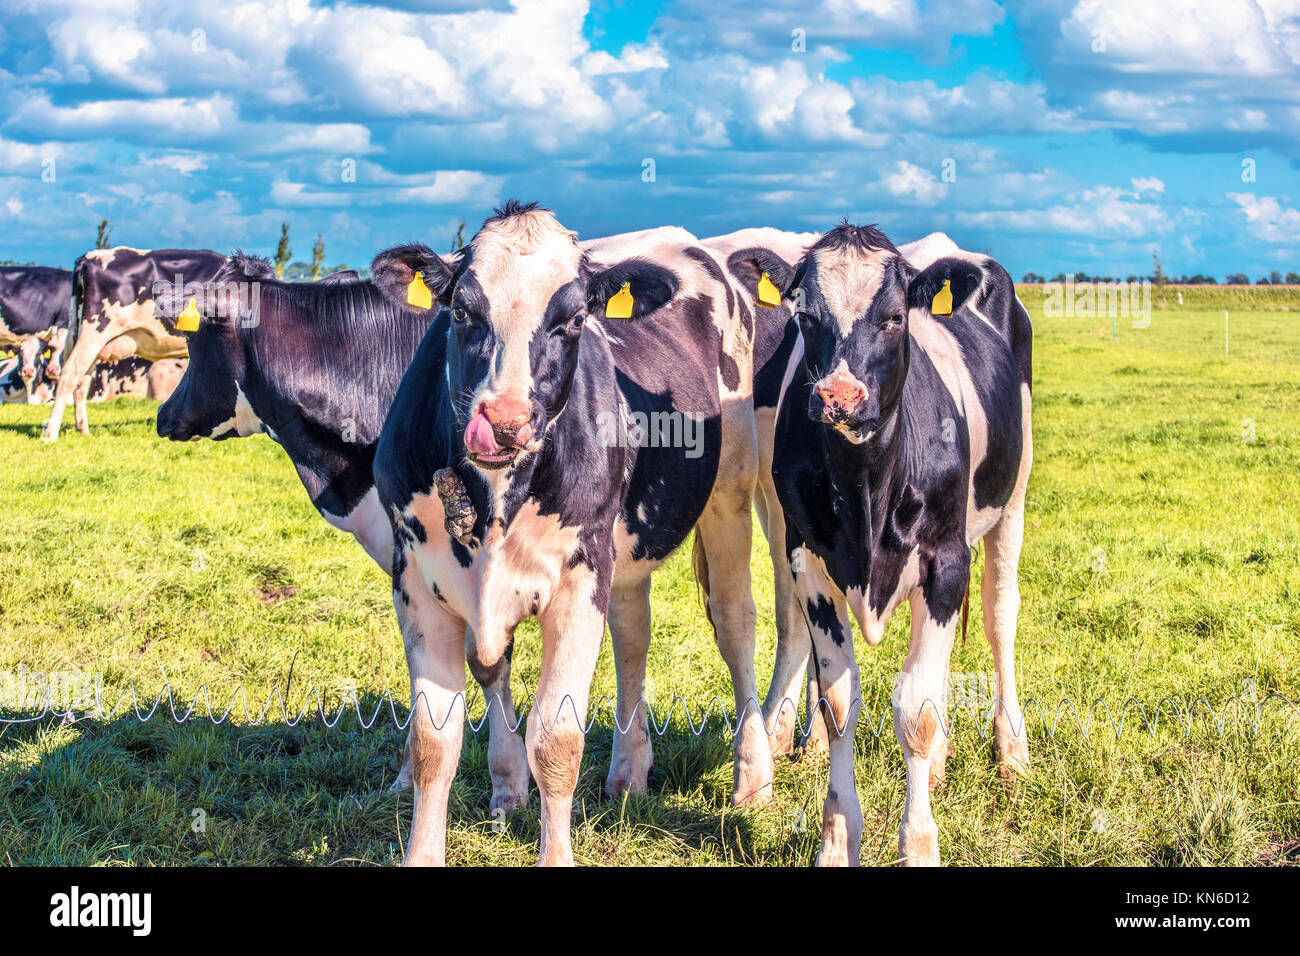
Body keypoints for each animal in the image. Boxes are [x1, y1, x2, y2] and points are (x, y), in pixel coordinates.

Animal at [41, 247, 226, 441]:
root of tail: (89, 257)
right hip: (94, 332)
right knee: (69, 375)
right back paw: (51, 433)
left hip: (83, 336)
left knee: (82, 381)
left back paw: (83, 429)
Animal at [370, 201, 775, 866]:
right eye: (461, 311)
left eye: (576, 318)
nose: (503, 422)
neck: (496, 497)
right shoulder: (419, 583)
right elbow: (434, 741)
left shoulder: (578, 581)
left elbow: (556, 741)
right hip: (627, 551)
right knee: (634, 634)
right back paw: (628, 773)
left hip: (730, 497)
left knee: (736, 625)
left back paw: (753, 777)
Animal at [770, 223, 1033, 866]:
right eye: (806, 316)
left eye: (893, 317)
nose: (839, 396)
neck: (866, 483)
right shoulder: (807, 562)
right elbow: (839, 703)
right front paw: (836, 841)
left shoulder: (946, 561)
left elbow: (915, 711)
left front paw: (919, 844)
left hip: (1013, 496)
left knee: (1000, 616)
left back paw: (1012, 749)